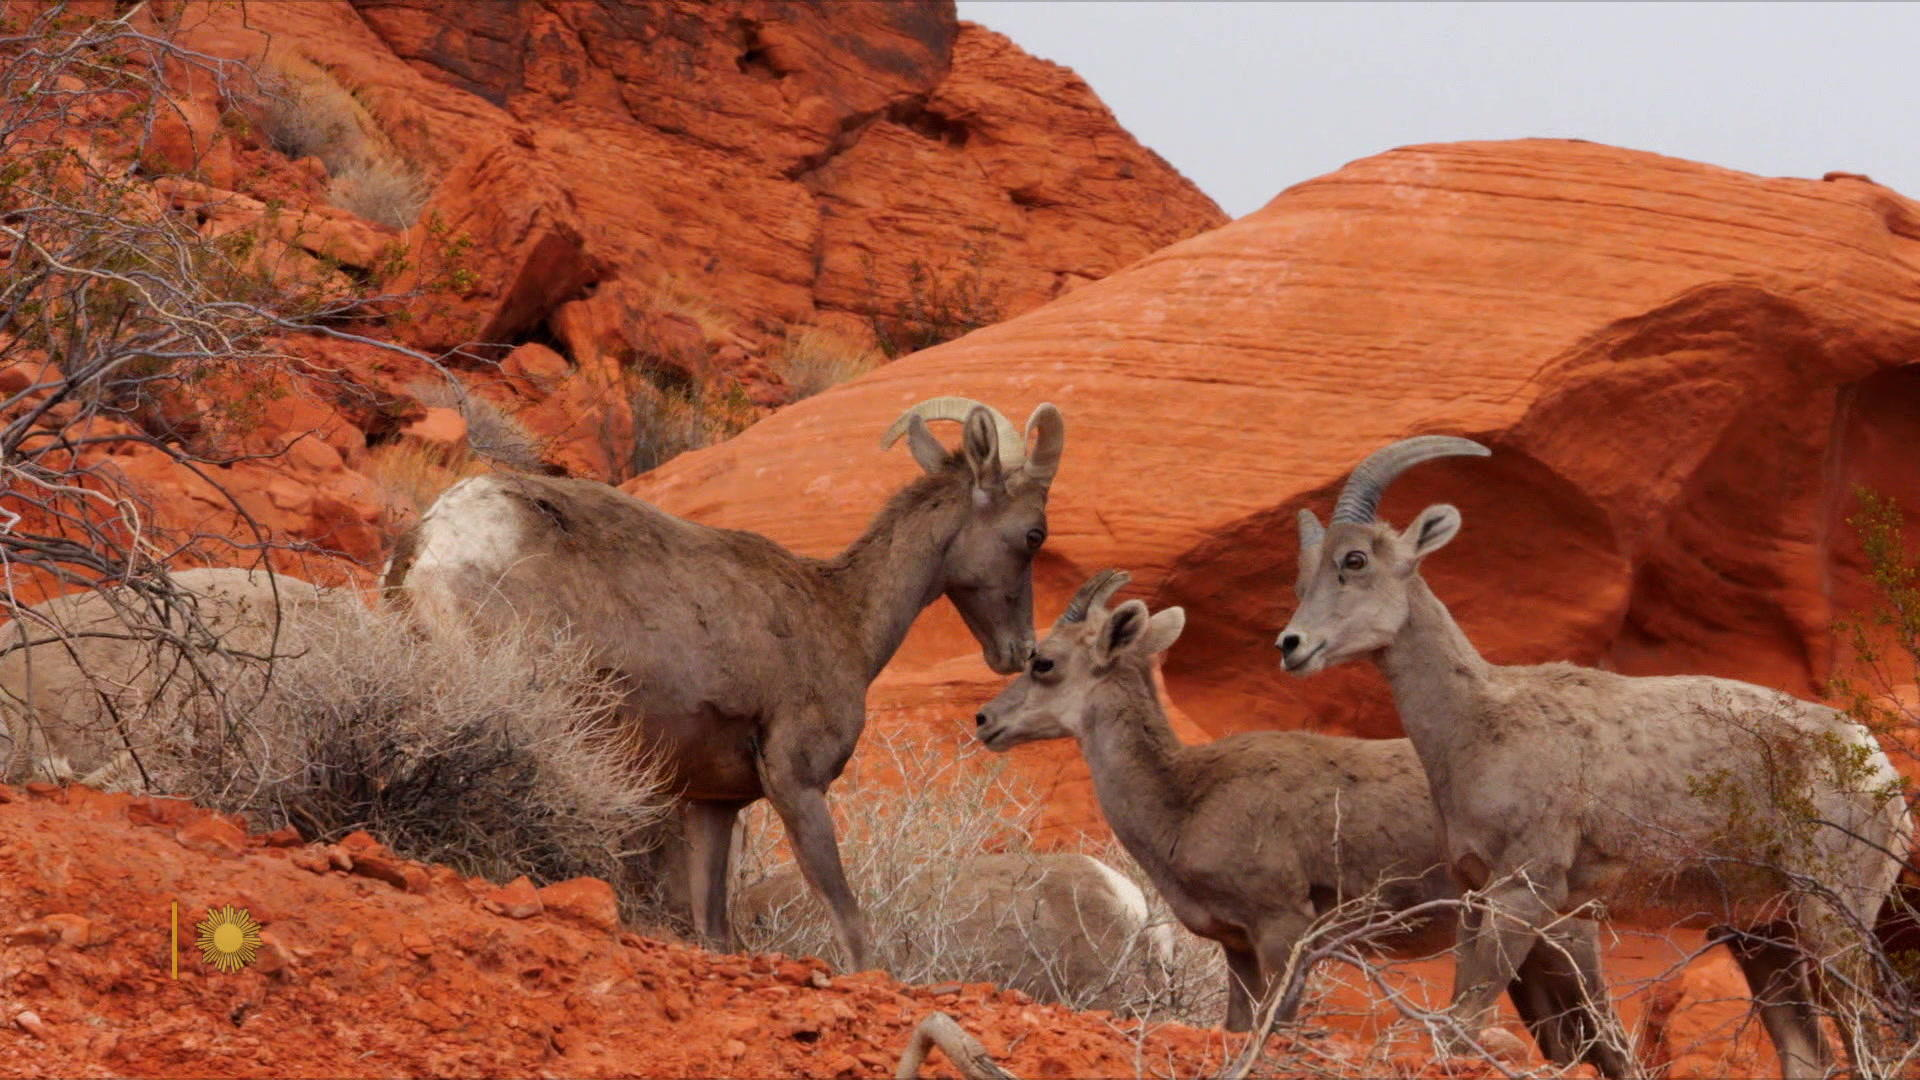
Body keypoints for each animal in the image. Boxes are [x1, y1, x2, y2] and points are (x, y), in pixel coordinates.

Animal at [382, 397, 1066, 972]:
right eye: (1034, 534)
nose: (1019, 650)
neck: (844, 617)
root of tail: (434, 539)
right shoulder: (797, 783)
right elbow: (848, 922)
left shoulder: (714, 805)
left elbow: (714, 930)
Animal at [975, 569, 1634, 1075]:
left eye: (1044, 662)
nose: (985, 721)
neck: (1183, 802)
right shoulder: (1237, 944)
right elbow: (1238, 1026)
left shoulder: (1283, 926)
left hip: (1561, 931)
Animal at [1277, 435, 1913, 1079]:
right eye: (1302, 576)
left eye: (1355, 561)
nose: (1291, 646)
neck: (1473, 725)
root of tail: (1877, 771)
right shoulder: (1479, 897)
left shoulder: (1526, 891)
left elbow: (1465, 1023)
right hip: (1761, 934)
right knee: (1809, 1052)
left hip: (1831, 918)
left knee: (1869, 1041)